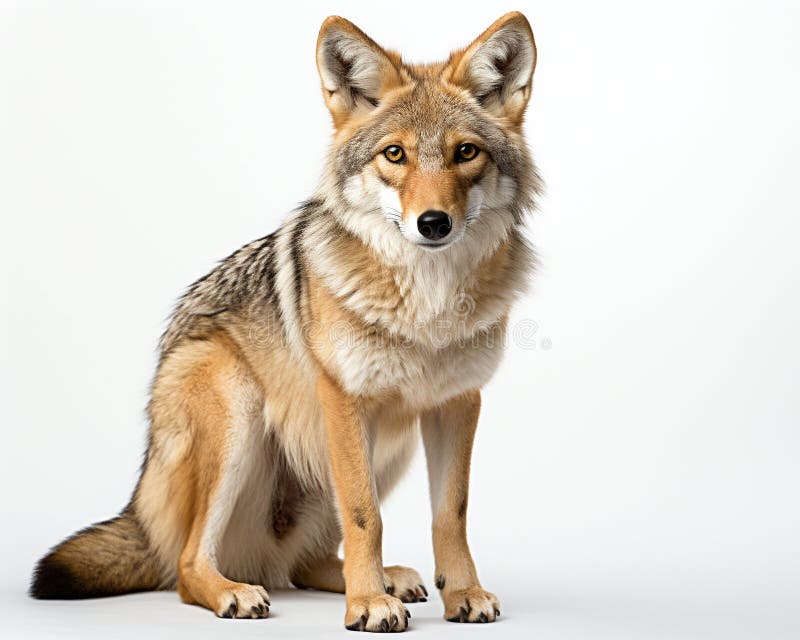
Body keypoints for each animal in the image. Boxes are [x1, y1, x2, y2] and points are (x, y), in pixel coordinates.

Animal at [31, 11, 540, 632]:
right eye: (394, 155)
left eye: (466, 152)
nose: (433, 223)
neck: (427, 305)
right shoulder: (346, 400)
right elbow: (365, 514)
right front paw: (368, 605)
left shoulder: (458, 404)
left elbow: (452, 512)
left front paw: (461, 593)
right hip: (238, 411)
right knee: (187, 567)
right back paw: (238, 592)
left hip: (384, 450)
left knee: (304, 564)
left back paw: (389, 578)